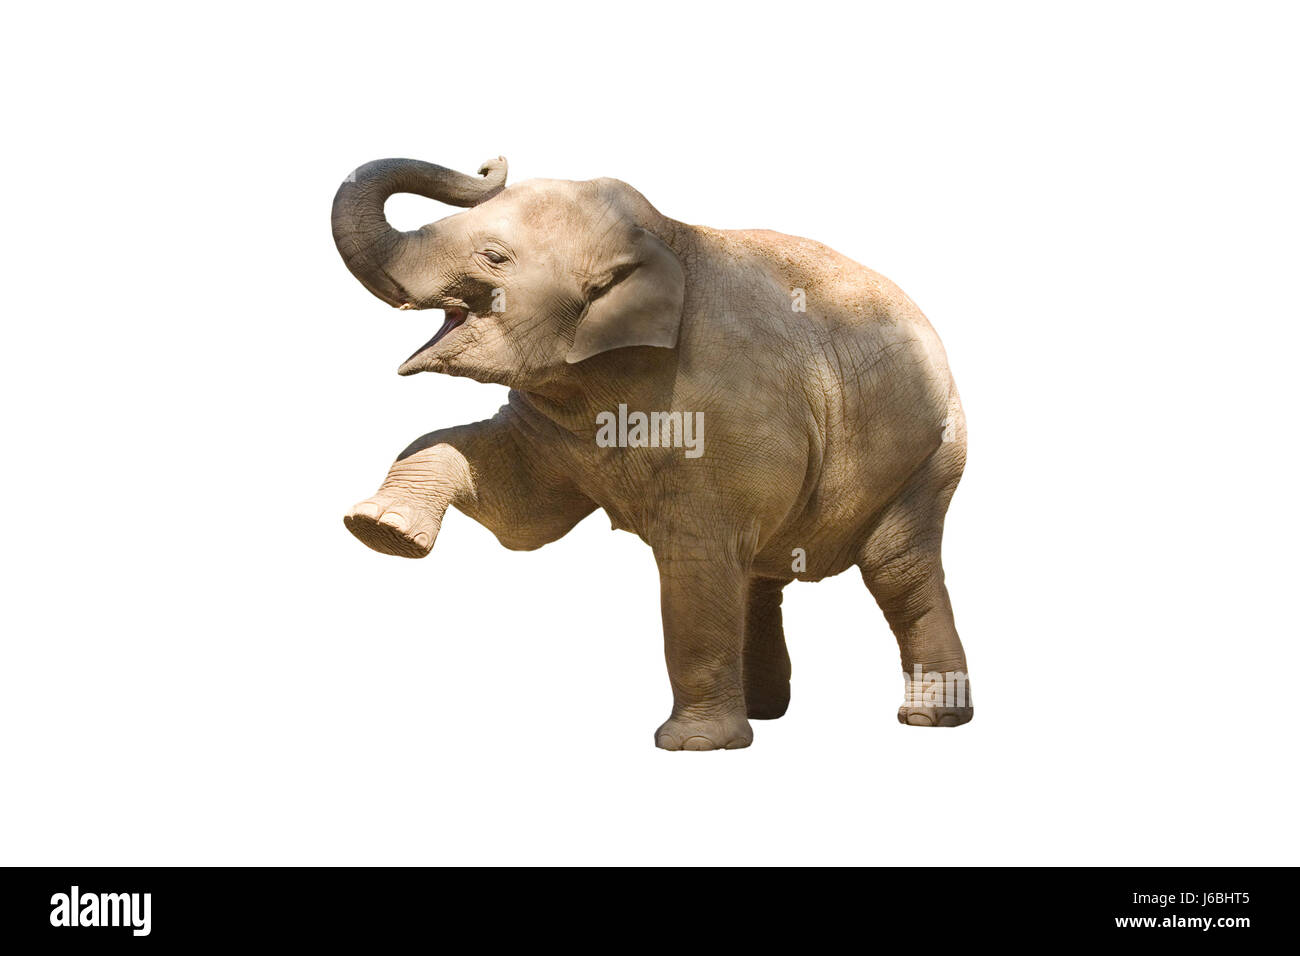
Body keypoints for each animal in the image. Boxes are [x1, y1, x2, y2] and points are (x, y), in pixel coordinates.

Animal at [332, 156, 973, 750]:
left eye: (495, 257)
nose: (491, 163)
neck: (663, 238)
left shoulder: (726, 412)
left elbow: (694, 555)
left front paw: (692, 745)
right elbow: (520, 512)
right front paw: (381, 530)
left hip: (929, 453)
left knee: (897, 569)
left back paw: (928, 719)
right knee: (759, 571)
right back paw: (766, 714)